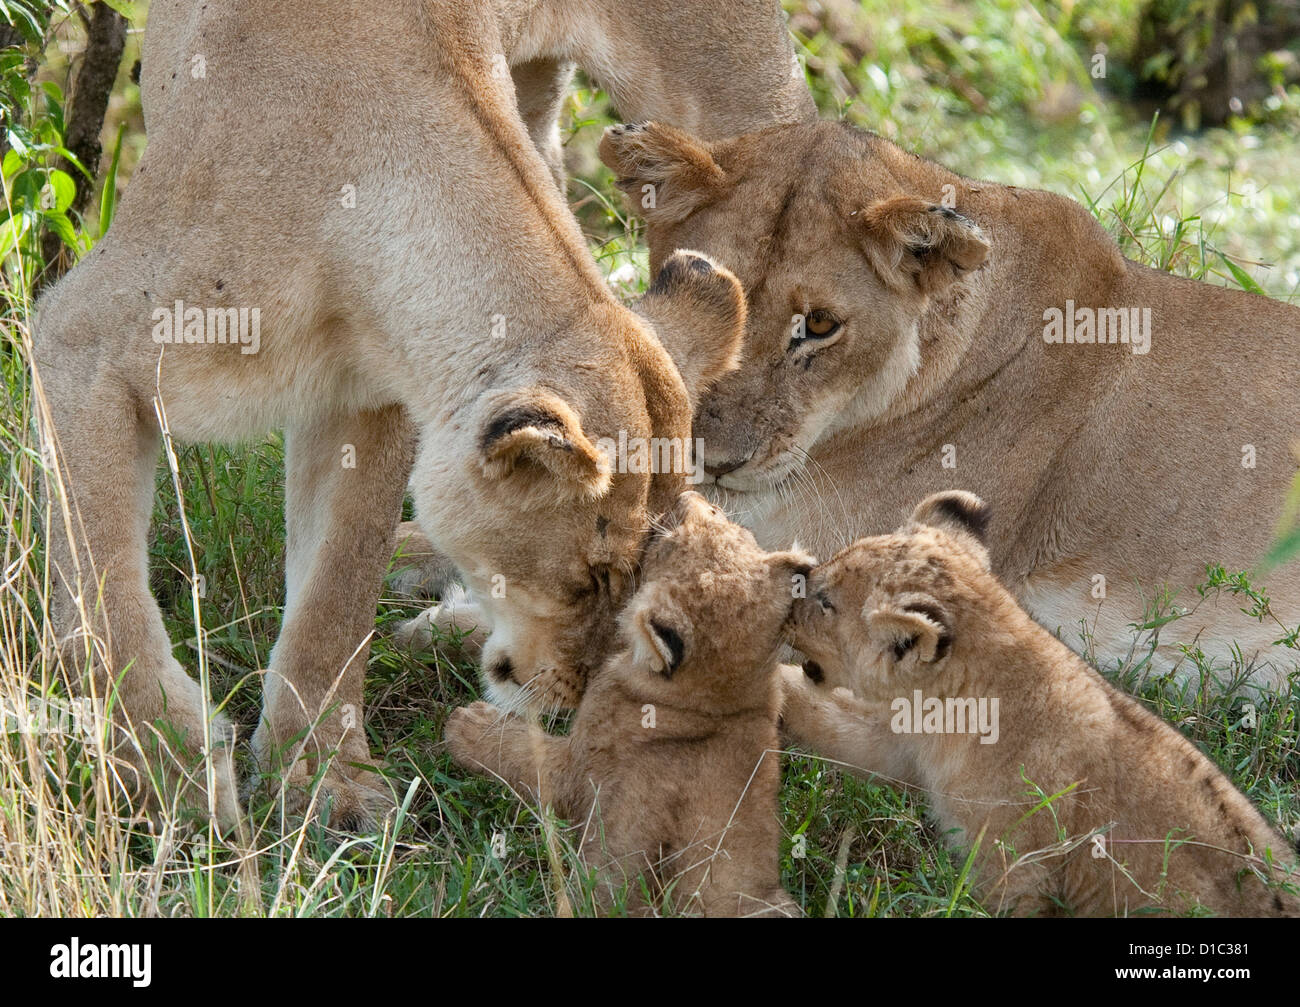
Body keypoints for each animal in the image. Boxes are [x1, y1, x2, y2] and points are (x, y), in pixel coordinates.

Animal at [32, 0, 811, 826]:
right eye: (585, 581)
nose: (575, 704)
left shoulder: (376, 401)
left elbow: (337, 591)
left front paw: (326, 776)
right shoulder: (82, 341)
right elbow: (103, 586)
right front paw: (165, 774)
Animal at [444, 490, 810, 916]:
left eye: (667, 547)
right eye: (717, 513)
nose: (688, 494)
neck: (725, 699)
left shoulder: (576, 772)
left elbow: (525, 753)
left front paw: (470, 725)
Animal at [779, 490, 1299, 917]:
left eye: (824, 602)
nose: (790, 597)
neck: (947, 708)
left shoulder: (1018, 870)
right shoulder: (900, 745)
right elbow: (833, 724)